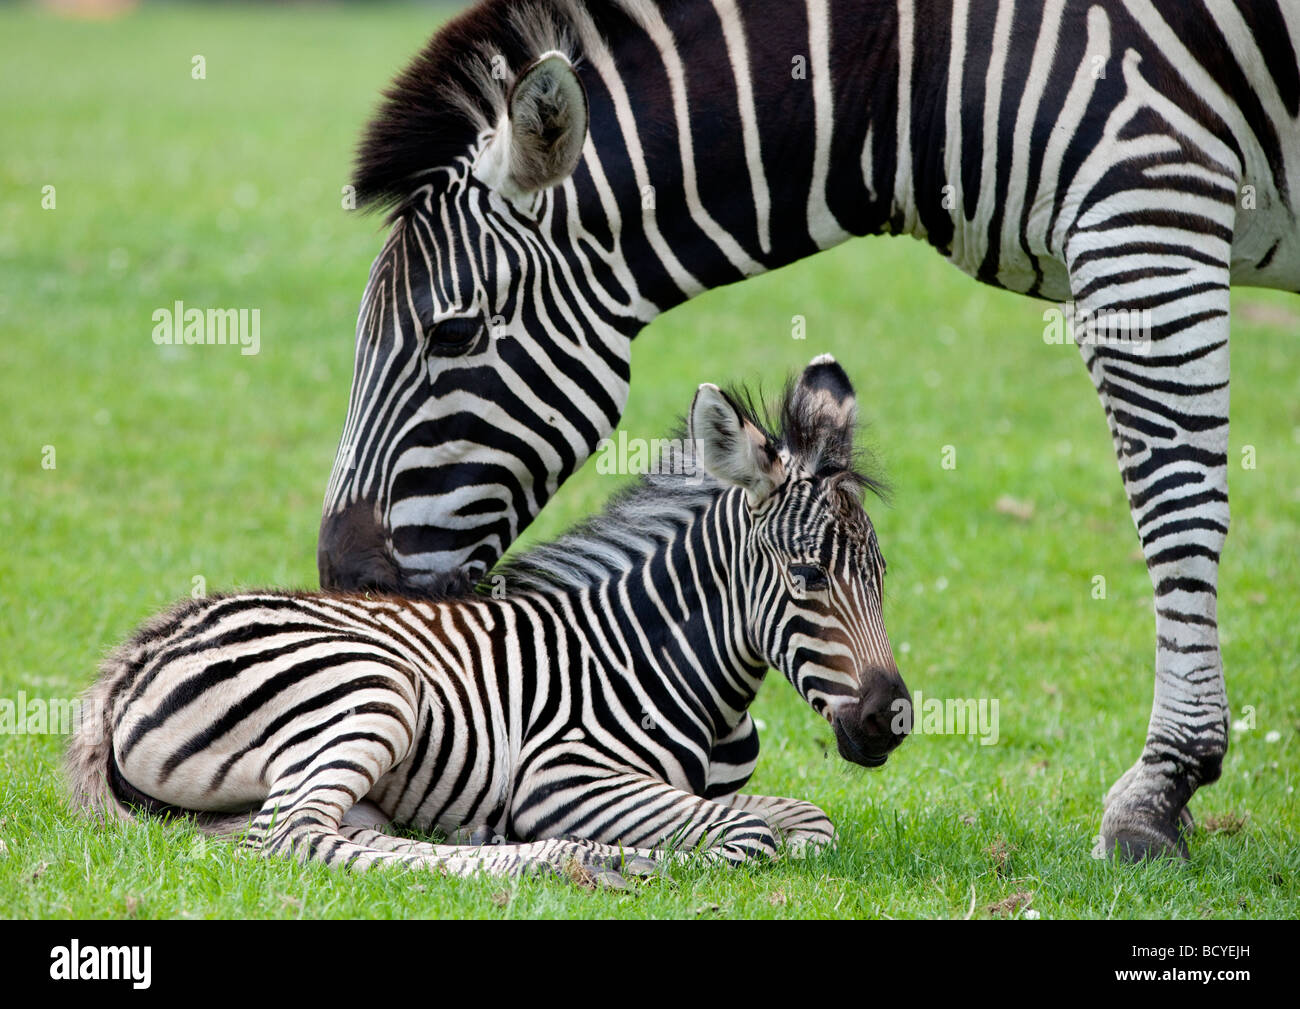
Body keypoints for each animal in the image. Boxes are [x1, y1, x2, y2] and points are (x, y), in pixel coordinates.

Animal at [69, 357, 909, 878]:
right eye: (807, 576)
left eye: (881, 575)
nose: (890, 719)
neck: (669, 659)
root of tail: (140, 650)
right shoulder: (562, 773)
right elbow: (759, 829)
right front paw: (645, 853)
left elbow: (805, 822)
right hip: (369, 688)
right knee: (296, 836)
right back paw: (574, 858)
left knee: (298, 832)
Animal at [316, 0, 1300, 860]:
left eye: (453, 333)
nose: (345, 583)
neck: (908, 64)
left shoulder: (1146, 201)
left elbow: (1176, 509)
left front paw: (1160, 791)